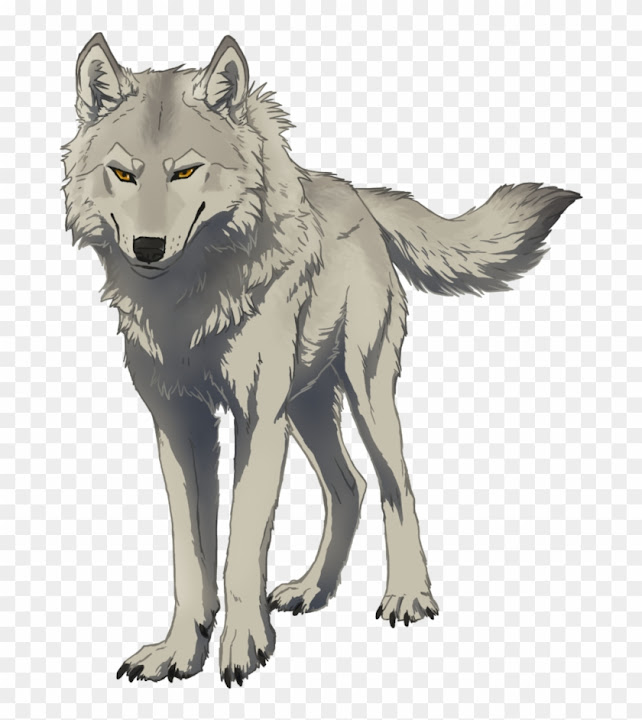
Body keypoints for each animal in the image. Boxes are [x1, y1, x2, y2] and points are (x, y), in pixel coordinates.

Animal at [62, 32, 579, 686]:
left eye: (185, 170)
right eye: (123, 173)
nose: (148, 247)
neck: (187, 301)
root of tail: (355, 192)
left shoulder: (258, 420)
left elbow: (239, 553)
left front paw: (243, 648)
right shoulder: (179, 426)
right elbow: (190, 559)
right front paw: (179, 652)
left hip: (363, 392)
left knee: (395, 485)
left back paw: (408, 596)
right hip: (306, 408)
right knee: (349, 485)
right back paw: (312, 589)